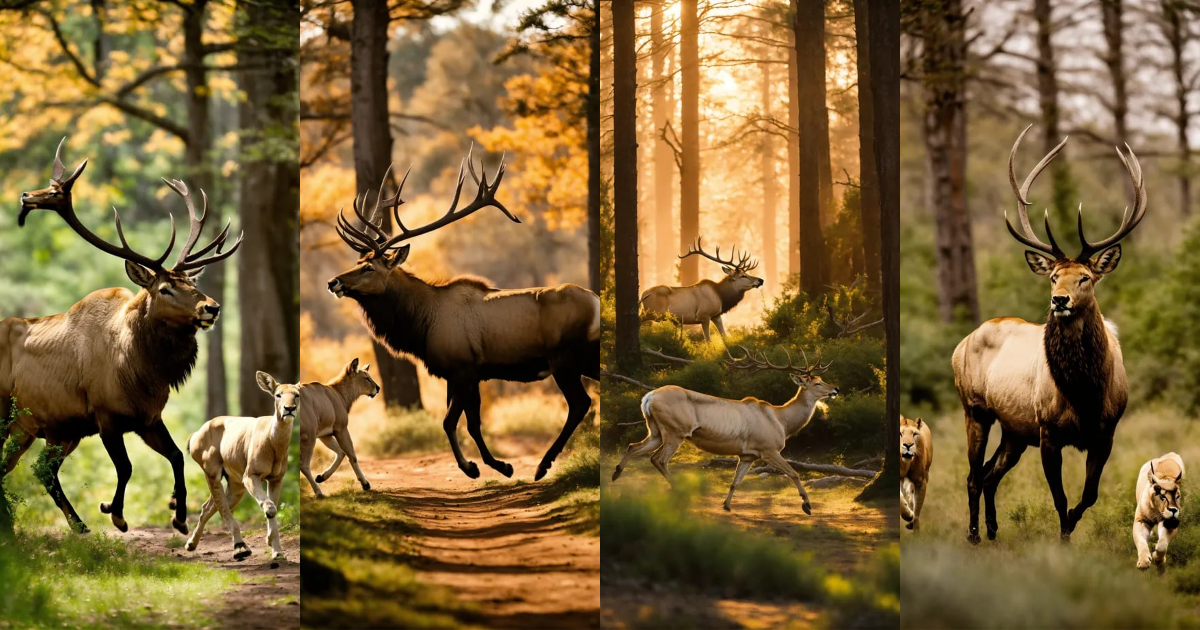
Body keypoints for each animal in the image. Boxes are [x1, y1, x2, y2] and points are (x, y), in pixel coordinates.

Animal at [0, 139, 241, 534]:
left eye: (192, 283)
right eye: (164, 289)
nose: (212, 307)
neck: (143, 371)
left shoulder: (147, 418)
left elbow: (177, 455)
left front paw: (178, 515)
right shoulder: (106, 415)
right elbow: (126, 467)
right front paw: (114, 512)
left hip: (49, 428)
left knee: (38, 470)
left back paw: (71, 526)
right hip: (15, 416)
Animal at [326, 153, 601, 482]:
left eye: (369, 267)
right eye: (358, 261)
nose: (333, 282)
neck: (421, 326)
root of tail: (597, 302)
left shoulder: (463, 369)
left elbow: (451, 422)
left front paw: (474, 468)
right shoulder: (457, 373)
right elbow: (470, 423)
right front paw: (499, 466)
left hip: (563, 359)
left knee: (580, 403)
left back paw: (542, 465)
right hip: (583, 360)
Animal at [611, 347, 839, 513]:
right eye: (817, 384)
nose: (836, 389)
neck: (781, 421)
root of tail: (648, 397)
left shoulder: (747, 455)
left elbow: (735, 482)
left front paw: (727, 505)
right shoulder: (768, 448)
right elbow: (794, 473)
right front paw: (807, 505)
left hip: (656, 430)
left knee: (633, 446)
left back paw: (616, 474)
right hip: (676, 430)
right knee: (658, 459)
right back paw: (677, 490)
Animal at [952, 125, 1142, 544]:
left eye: (1085, 277)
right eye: (1054, 276)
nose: (1059, 300)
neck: (1085, 394)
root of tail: (962, 341)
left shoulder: (1106, 432)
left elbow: (1089, 495)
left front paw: (1070, 526)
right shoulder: (1048, 430)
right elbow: (1059, 497)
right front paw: (1063, 537)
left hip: (1014, 429)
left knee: (990, 475)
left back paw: (993, 529)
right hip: (975, 408)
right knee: (973, 475)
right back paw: (973, 533)